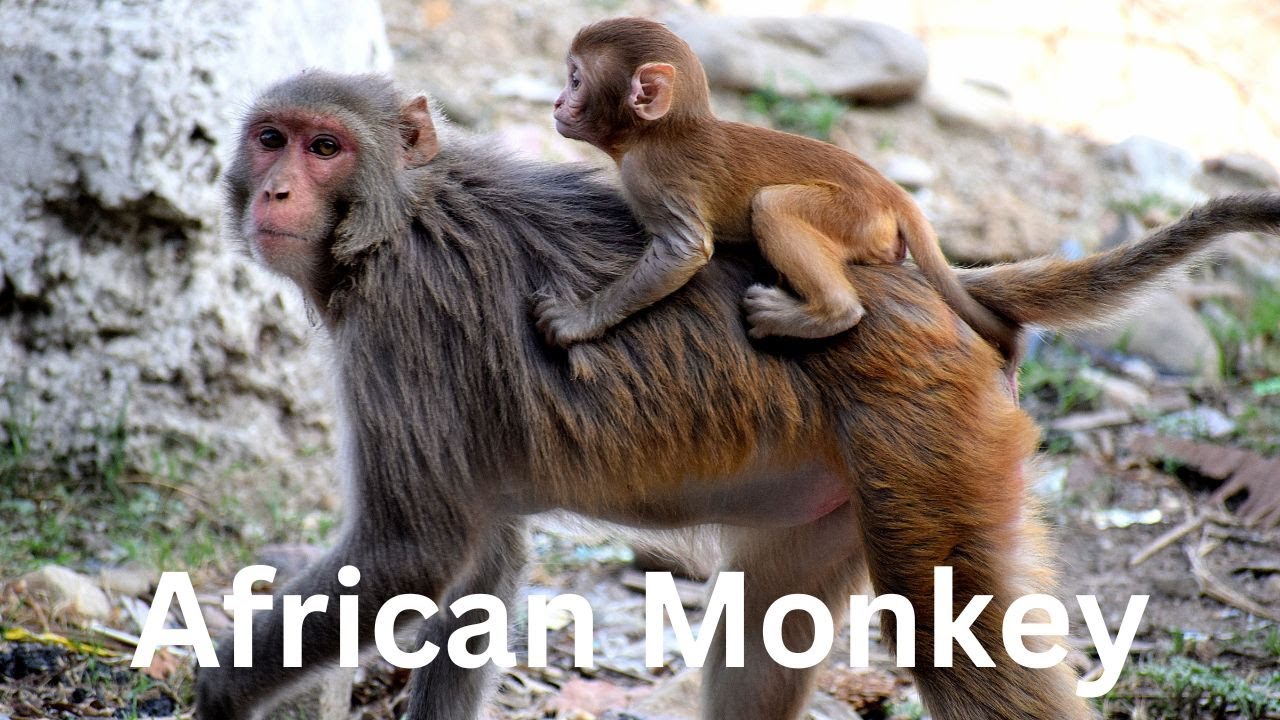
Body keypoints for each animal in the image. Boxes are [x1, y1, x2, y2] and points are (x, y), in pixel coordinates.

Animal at [196, 69, 1280, 720]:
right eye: (272, 138)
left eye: (325, 148)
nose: (276, 193)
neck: (392, 223)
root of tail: (929, 286)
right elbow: (481, 561)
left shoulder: (400, 332)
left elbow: (413, 553)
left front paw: (218, 691)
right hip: (851, 485)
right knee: (766, 621)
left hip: (930, 436)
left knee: (956, 636)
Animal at [533, 16, 1017, 363]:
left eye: (575, 80)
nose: (557, 103)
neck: (658, 132)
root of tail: (889, 192)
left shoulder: (652, 174)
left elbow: (684, 251)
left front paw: (578, 320)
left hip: (853, 215)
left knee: (774, 204)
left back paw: (826, 314)